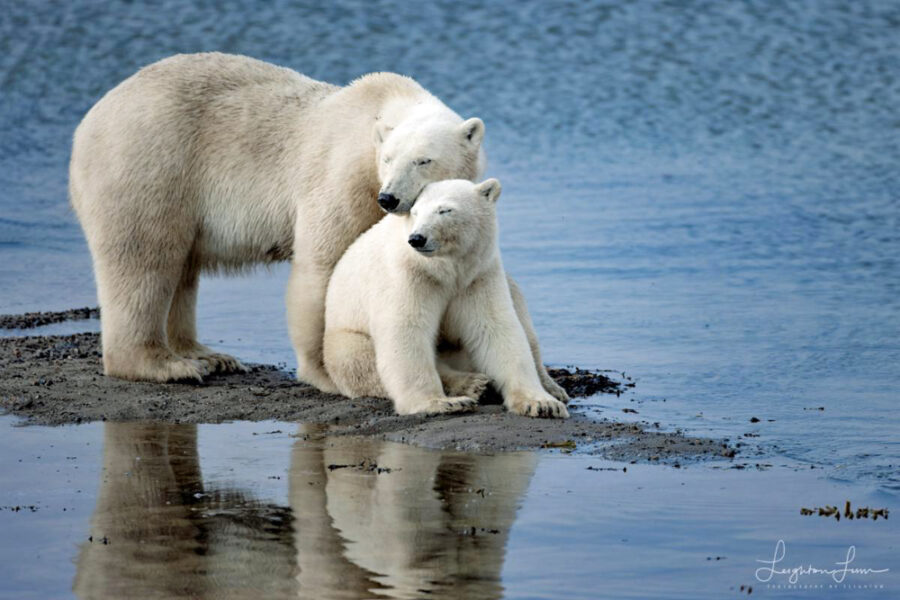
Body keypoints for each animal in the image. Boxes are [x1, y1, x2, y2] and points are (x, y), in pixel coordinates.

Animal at [322, 179, 570, 418]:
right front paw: (438, 403)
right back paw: (472, 385)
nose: (417, 238)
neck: (444, 270)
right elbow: (406, 331)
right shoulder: (408, 276)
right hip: (343, 342)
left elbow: (495, 329)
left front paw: (542, 404)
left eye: (444, 210)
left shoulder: (477, 277)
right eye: (415, 212)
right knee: (362, 362)